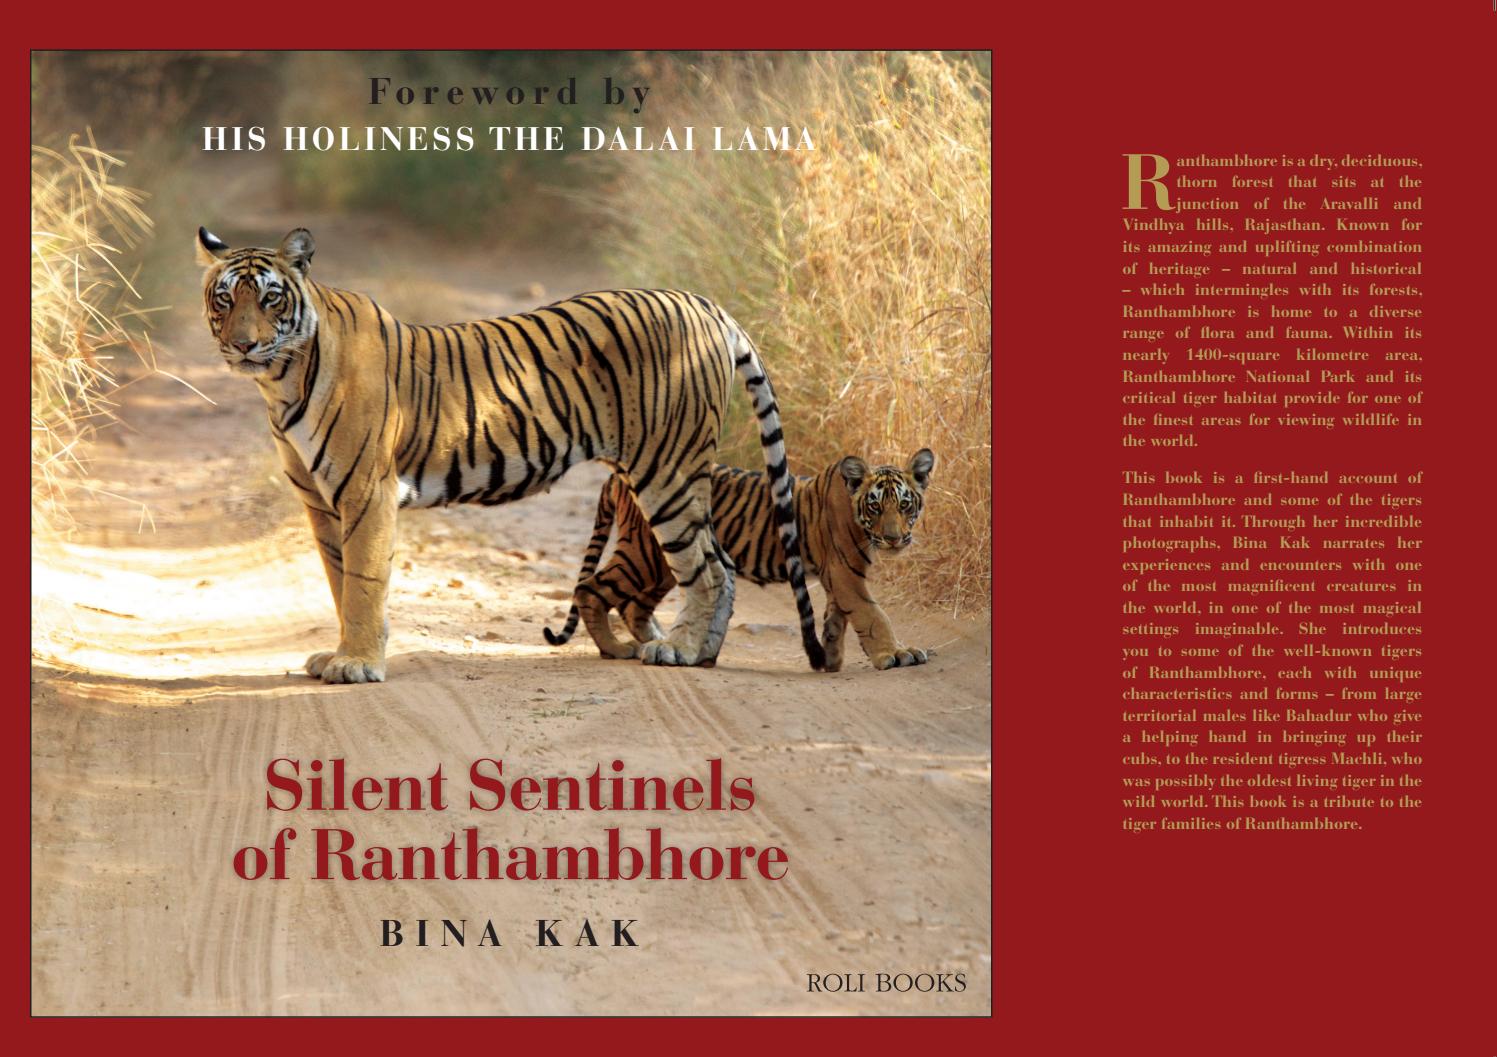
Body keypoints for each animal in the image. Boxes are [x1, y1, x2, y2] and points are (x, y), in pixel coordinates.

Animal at [196, 226, 824, 682]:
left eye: (271, 299)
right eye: (224, 299)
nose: (244, 344)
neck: (282, 380)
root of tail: (704, 304)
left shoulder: (366, 492)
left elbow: (363, 581)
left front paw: (357, 665)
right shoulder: (321, 500)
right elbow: (338, 578)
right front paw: (340, 655)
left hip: (667, 471)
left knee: (709, 569)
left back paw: (679, 651)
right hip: (672, 474)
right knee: (721, 565)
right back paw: (703, 653)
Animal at [545, 449, 936, 672]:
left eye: (905, 505)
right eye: (876, 506)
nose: (894, 538)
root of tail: (618, 474)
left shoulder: (838, 576)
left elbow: (836, 617)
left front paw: (831, 658)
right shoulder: (845, 573)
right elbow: (874, 616)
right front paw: (896, 654)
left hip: (662, 562)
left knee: (633, 605)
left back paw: (660, 643)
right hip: (643, 554)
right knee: (590, 589)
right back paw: (617, 649)